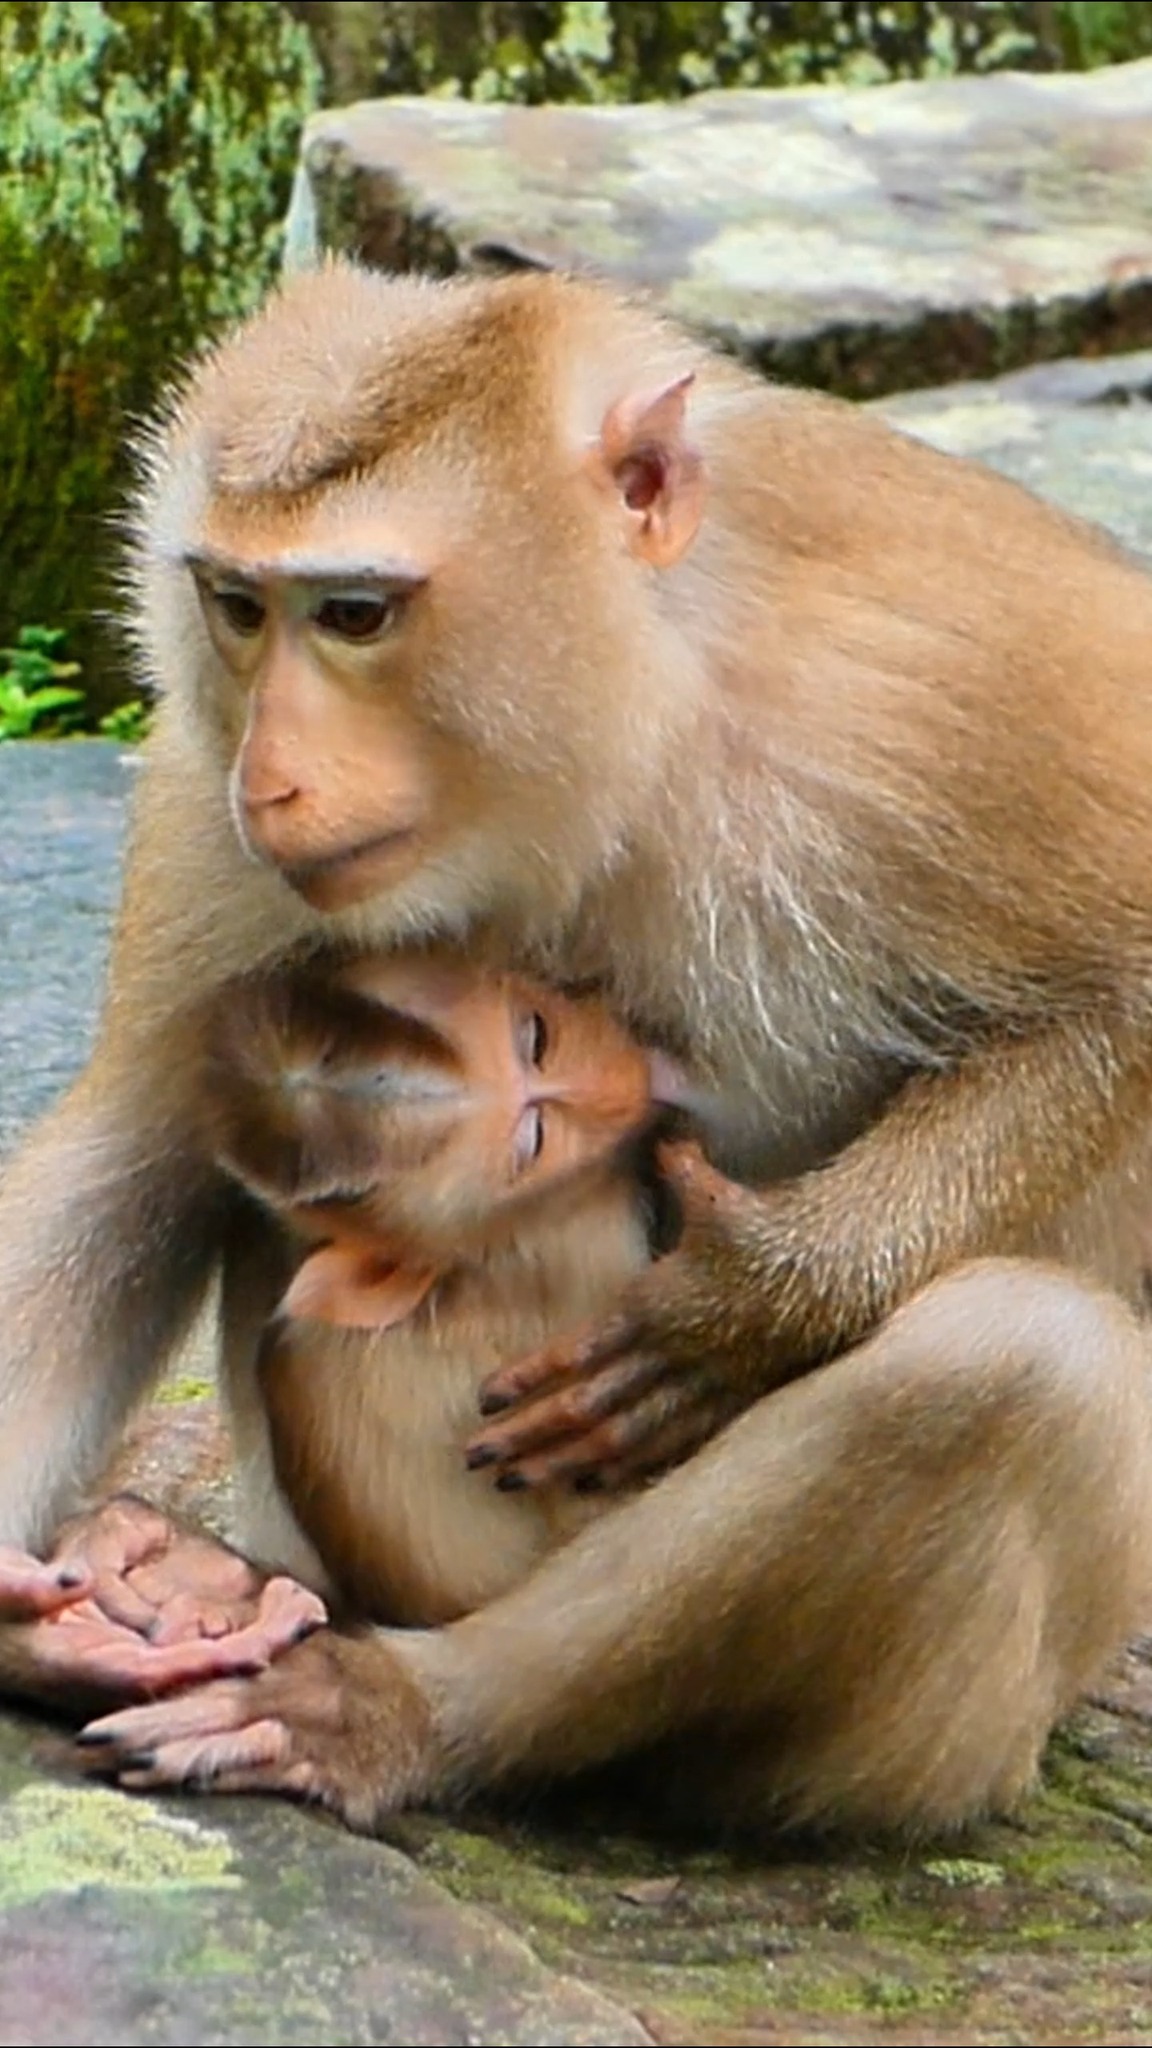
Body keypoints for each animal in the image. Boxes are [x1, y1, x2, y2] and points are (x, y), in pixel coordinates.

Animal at [1, 257, 1152, 1837]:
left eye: (354, 614)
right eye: (239, 607)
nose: (276, 777)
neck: (630, 717)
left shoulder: (921, 691)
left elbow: (1122, 985)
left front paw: (744, 1301)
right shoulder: (199, 775)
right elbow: (135, 1157)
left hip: (939, 1736)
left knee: (1017, 1365)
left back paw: (412, 1713)